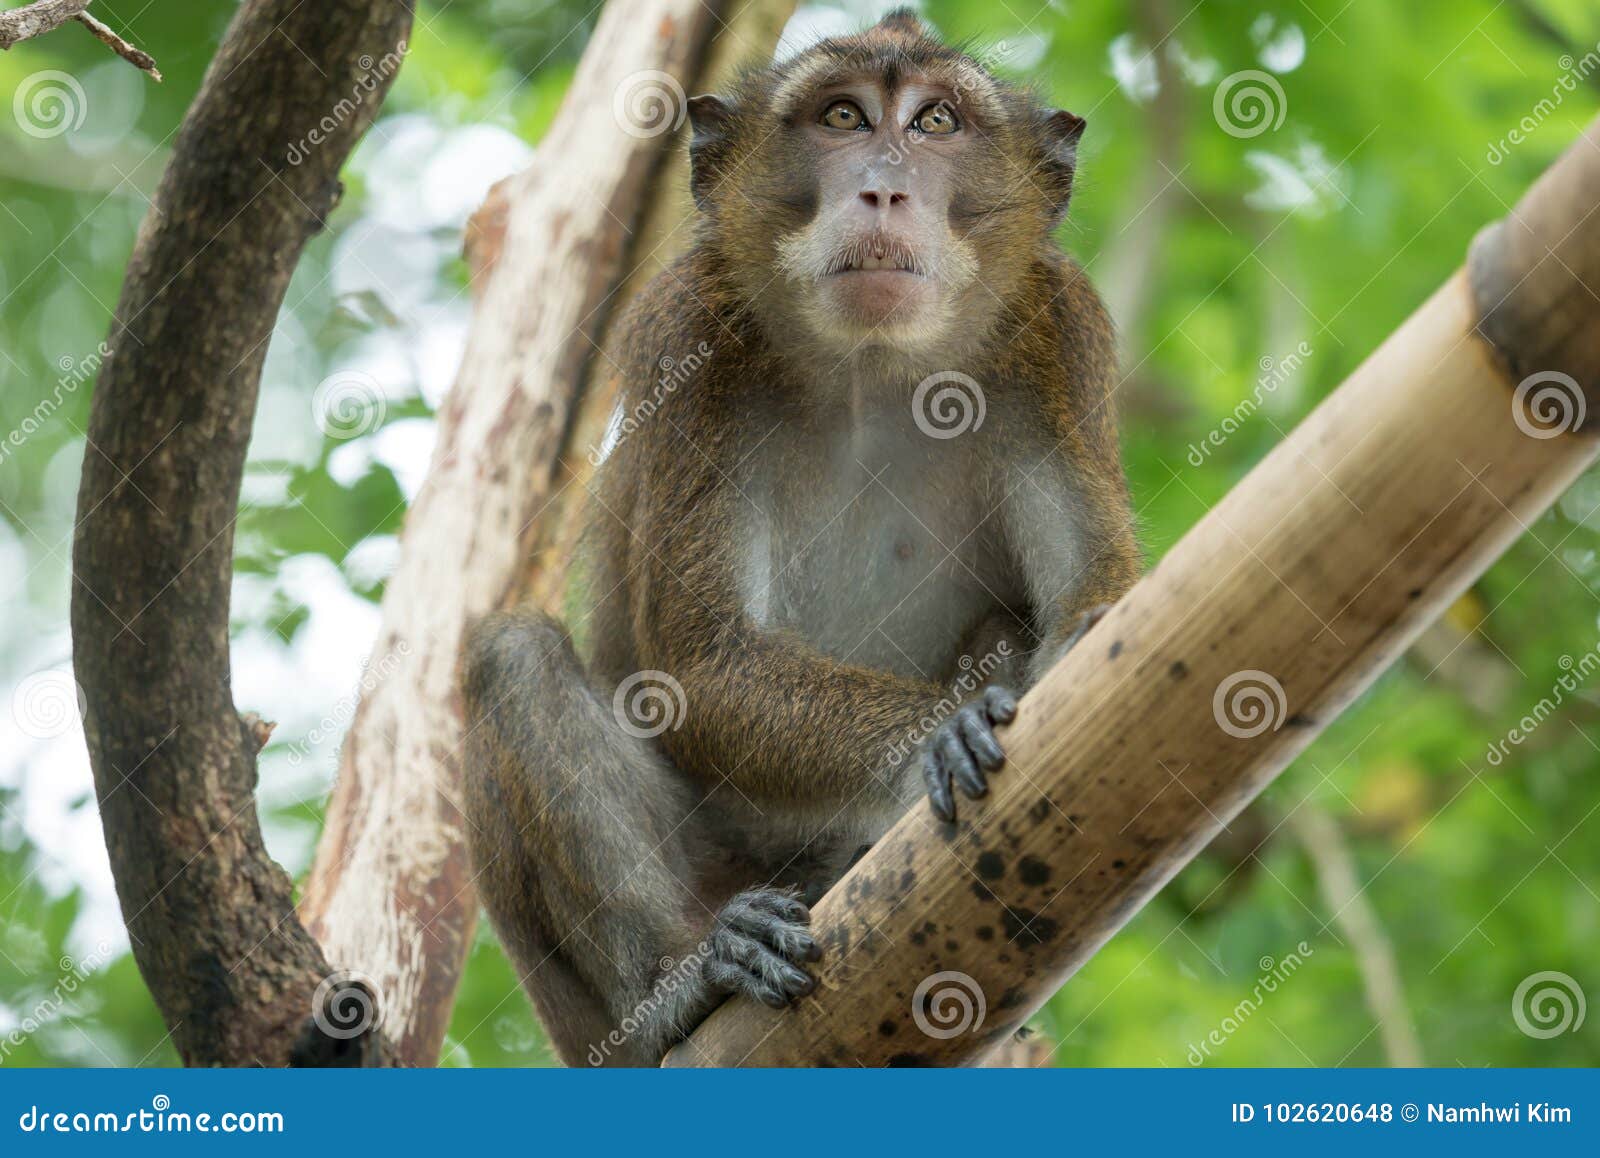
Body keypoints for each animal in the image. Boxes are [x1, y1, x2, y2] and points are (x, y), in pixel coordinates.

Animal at [460, 9, 1141, 1066]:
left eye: (936, 120)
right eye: (843, 116)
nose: (884, 186)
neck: (874, 367)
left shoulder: (1059, 332)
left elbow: (1091, 610)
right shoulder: (684, 332)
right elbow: (700, 664)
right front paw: (934, 737)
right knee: (514, 658)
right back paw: (678, 986)